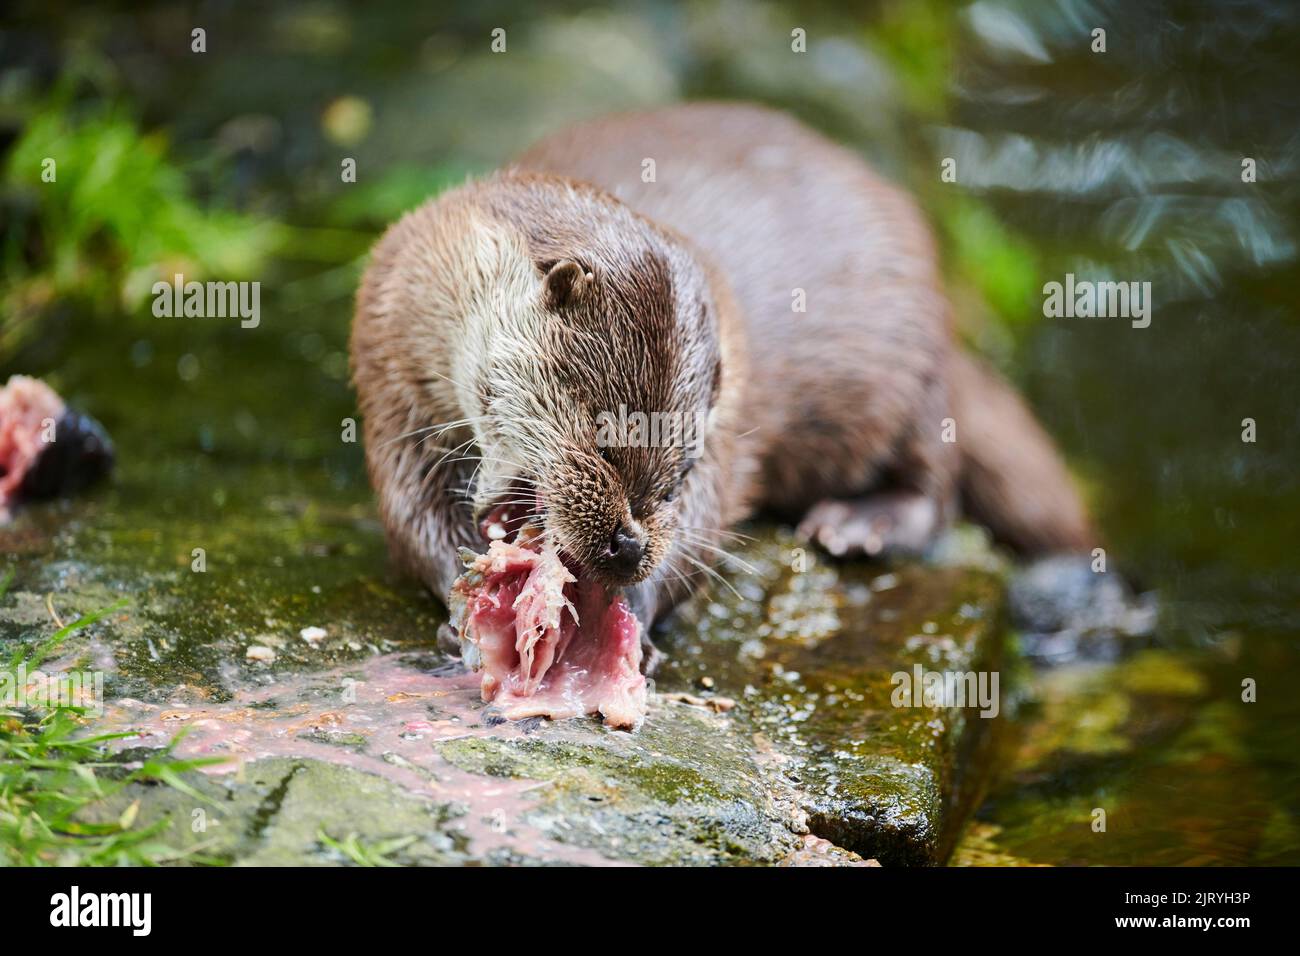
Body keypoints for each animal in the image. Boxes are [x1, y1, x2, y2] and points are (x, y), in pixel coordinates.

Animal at [350, 103, 1092, 724]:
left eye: (675, 478)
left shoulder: (731, 421)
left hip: (912, 365)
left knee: (936, 484)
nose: (626, 546)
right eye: (606, 442)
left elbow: (705, 528)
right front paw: (460, 605)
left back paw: (860, 526)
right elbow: (408, 515)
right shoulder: (389, 376)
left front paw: (635, 617)